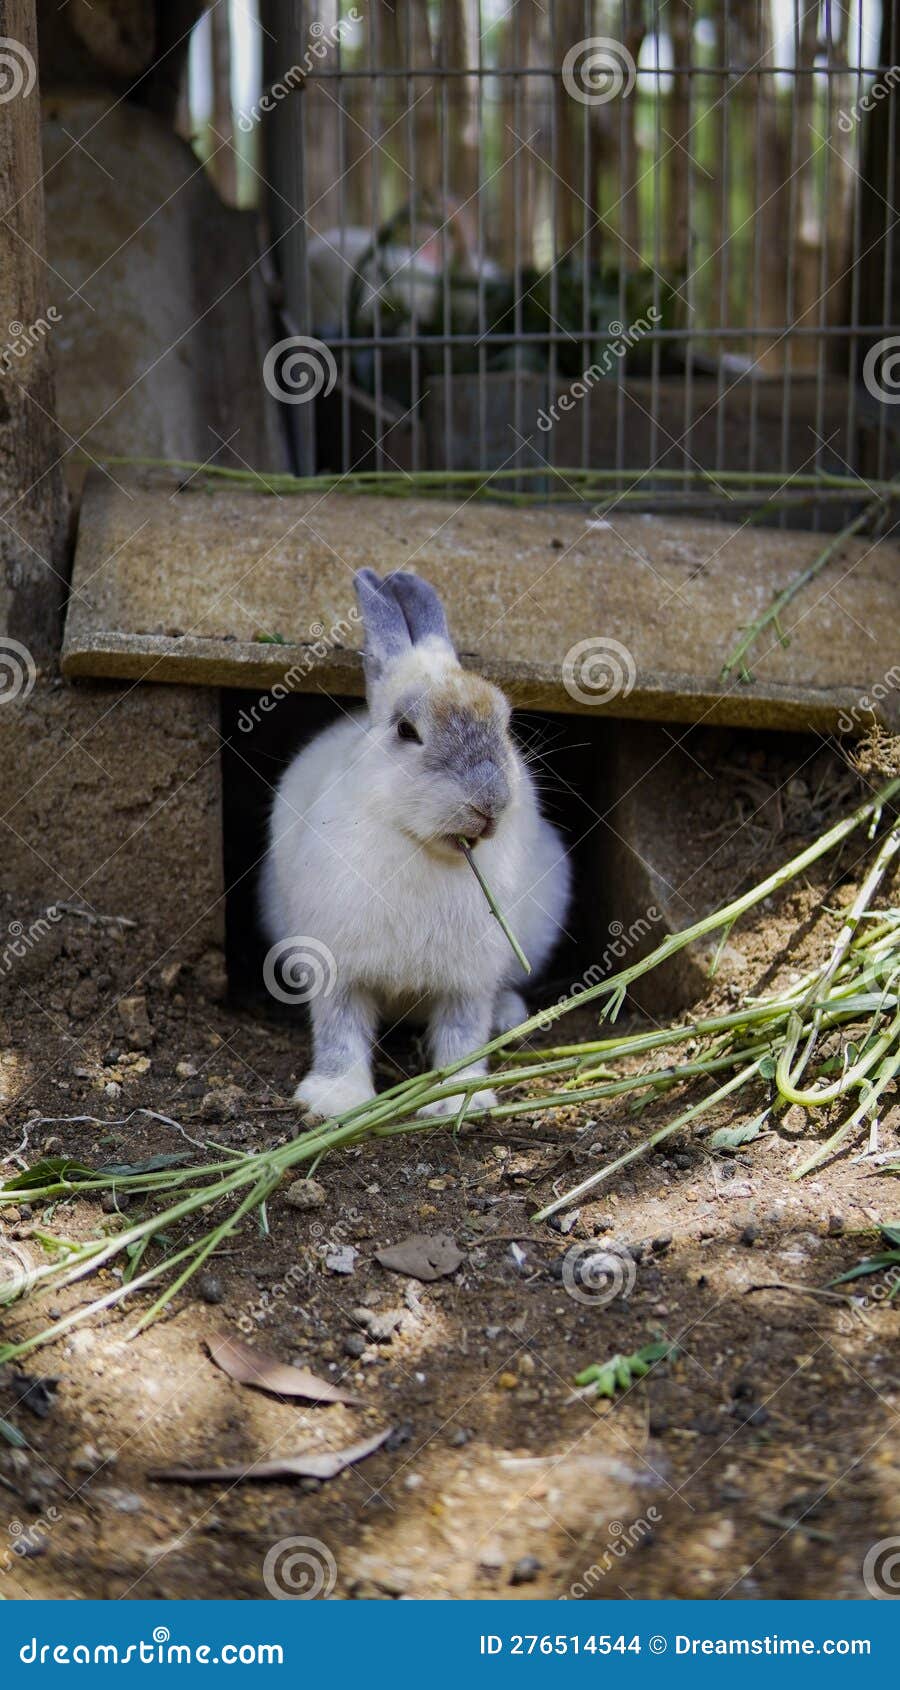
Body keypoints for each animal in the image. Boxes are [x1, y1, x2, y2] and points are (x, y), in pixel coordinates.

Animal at [259, 569, 571, 1121]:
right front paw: (336, 1100)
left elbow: (463, 1036)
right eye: (406, 730)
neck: (421, 845)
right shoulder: (339, 969)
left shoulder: (468, 980)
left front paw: (460, 1098)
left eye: (504, 725)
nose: (489, 800)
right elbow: (339, 1035)